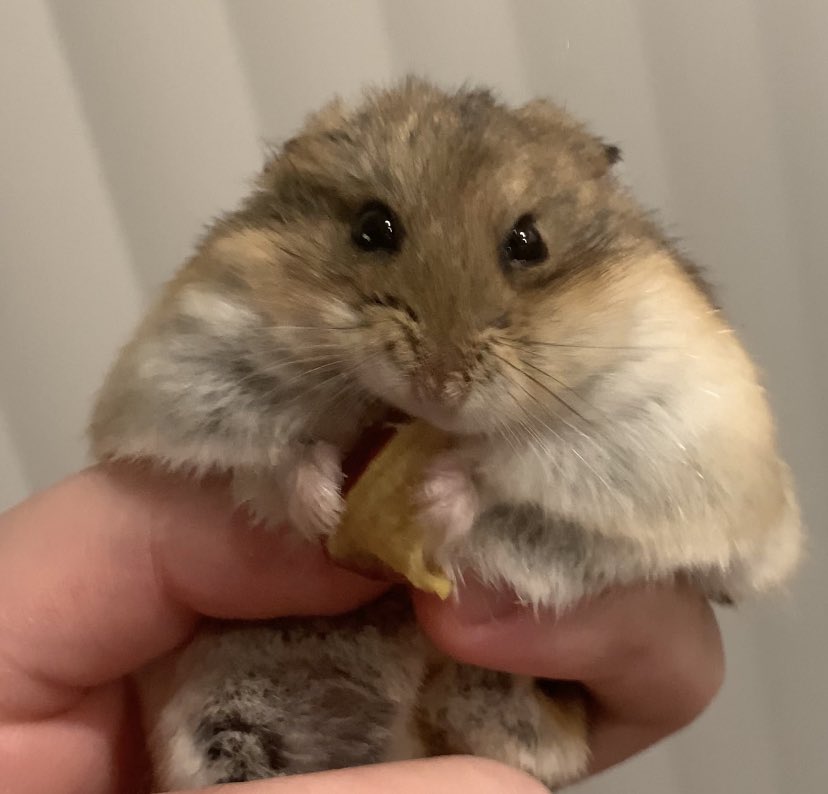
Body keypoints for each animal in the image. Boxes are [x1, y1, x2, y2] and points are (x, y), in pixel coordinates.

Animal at [89, 78, 801, 789]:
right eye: (372, 228)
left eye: (529, 241)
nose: (439, 383)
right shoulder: (187, 388)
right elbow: (268, 464)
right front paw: (324, 506)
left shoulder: (657, 445)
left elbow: (520, 487)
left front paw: (437, 492)